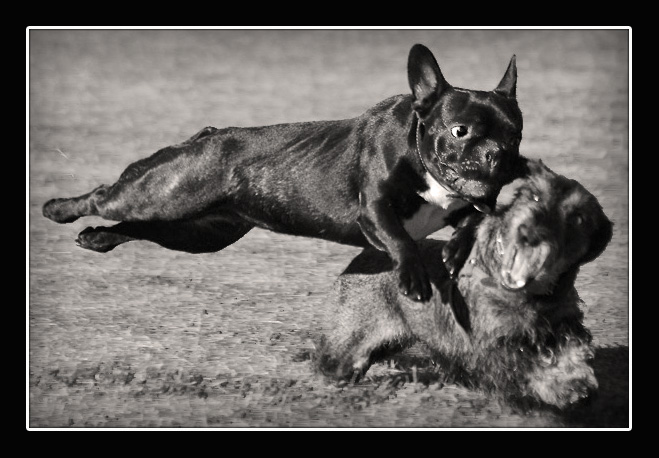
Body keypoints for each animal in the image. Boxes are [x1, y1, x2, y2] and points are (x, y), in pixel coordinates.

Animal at [43, 43, 524, 300]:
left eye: (516, 133)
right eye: (460, 131)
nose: (498, 154)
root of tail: (207, 135)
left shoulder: (470, 206)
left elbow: (476, 220)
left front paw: (454, 252)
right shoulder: (375, 211)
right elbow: (401, 239)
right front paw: (414, 277)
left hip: (199, 232)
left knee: (140, 226)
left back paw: (97, 238)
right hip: (162, 191)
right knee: (104, 195)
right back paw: (57, 209)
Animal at [314, 160, 612, 408]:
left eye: (578, 218)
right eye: (535, 195)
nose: (530, 233)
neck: (531, 295)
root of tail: (367, 254)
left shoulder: (565, 325)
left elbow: (574, 351)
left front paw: (577, 381)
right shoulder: (493, 347)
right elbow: (526, 367)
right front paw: (559, 387)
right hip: (352, 337)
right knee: (330, 359)